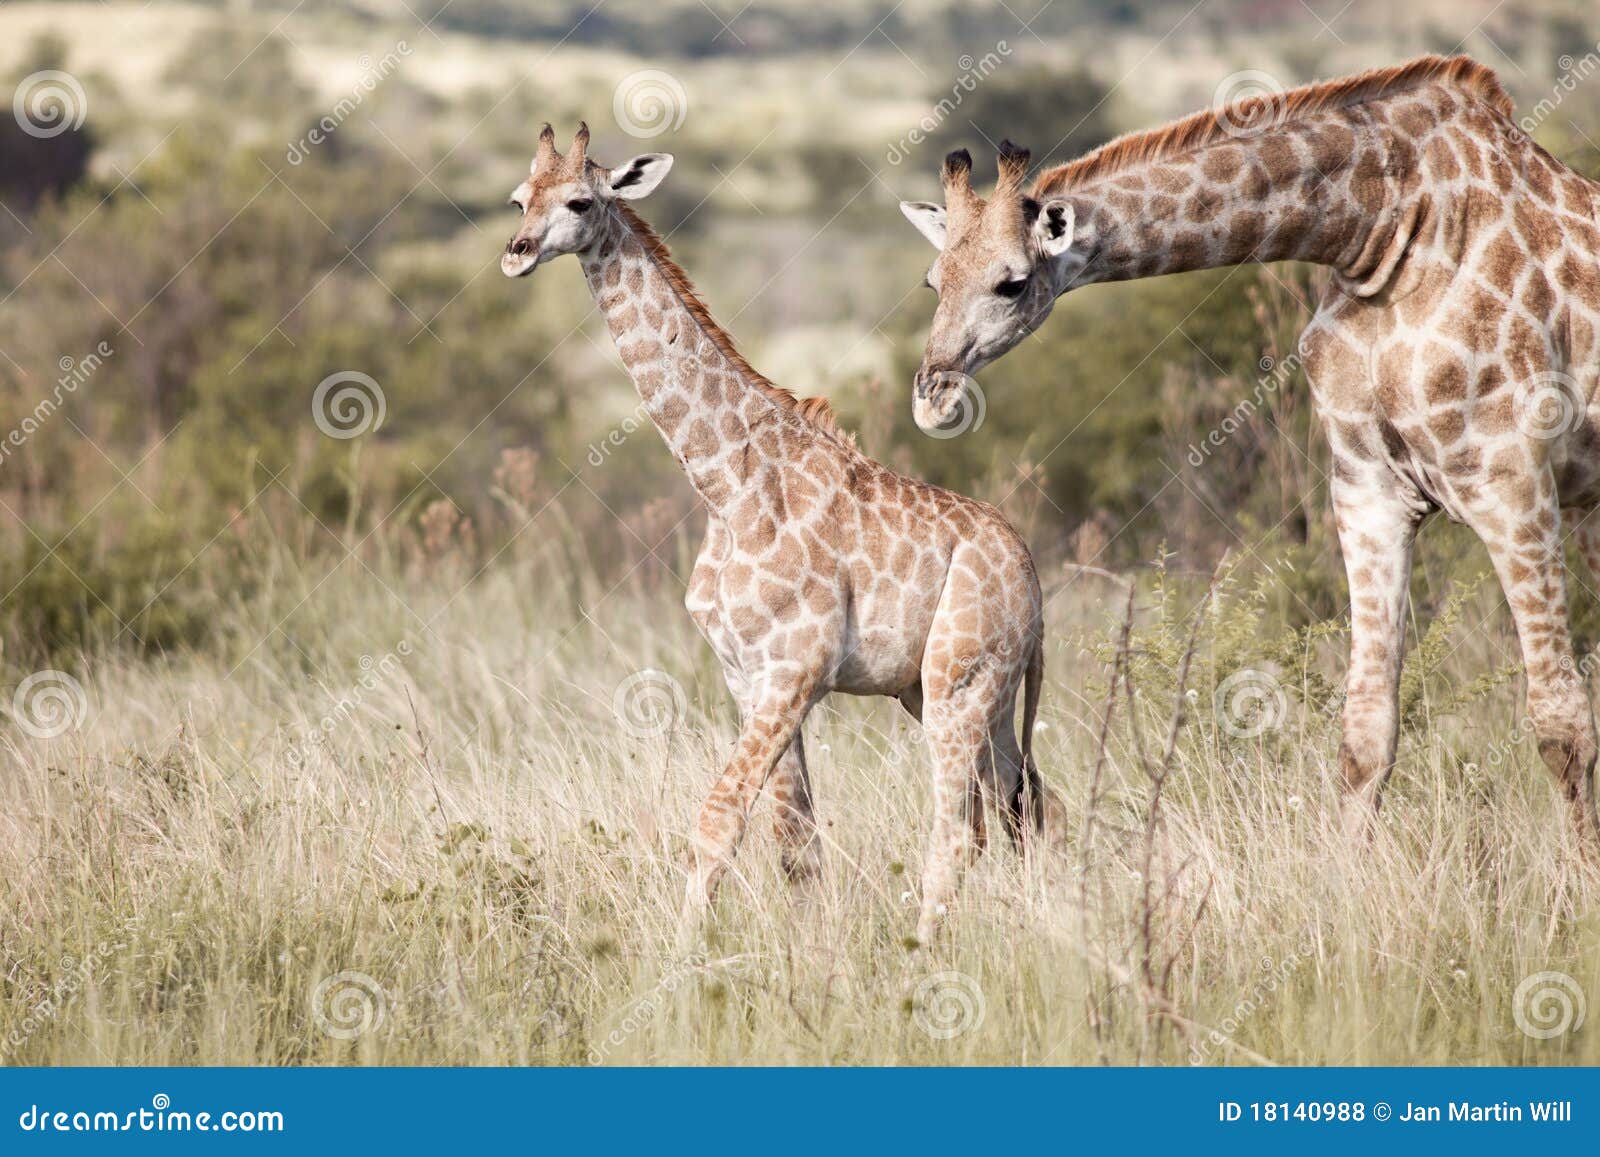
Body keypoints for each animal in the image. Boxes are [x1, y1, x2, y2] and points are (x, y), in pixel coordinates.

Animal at [502, 124, 1060, 942]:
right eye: (519, 197)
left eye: (578, 200)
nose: (515, 251)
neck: (724, 484)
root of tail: (1034, 583)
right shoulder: (747, 675)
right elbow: (795, 844)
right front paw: (807, 951)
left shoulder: (797, 666)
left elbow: (717, 822)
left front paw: (678, 957)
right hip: (944, 689)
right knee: (1020, 800)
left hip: (963, 679)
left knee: (964, 824)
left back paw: (927, 950)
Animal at [897, 55, 1600, 843]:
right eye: (932, 280)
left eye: (1012, 283)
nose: (933, 396)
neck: (1379, 229)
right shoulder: (1370, 491)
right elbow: (1365, 732)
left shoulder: (1511, 478)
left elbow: (1561, 726)